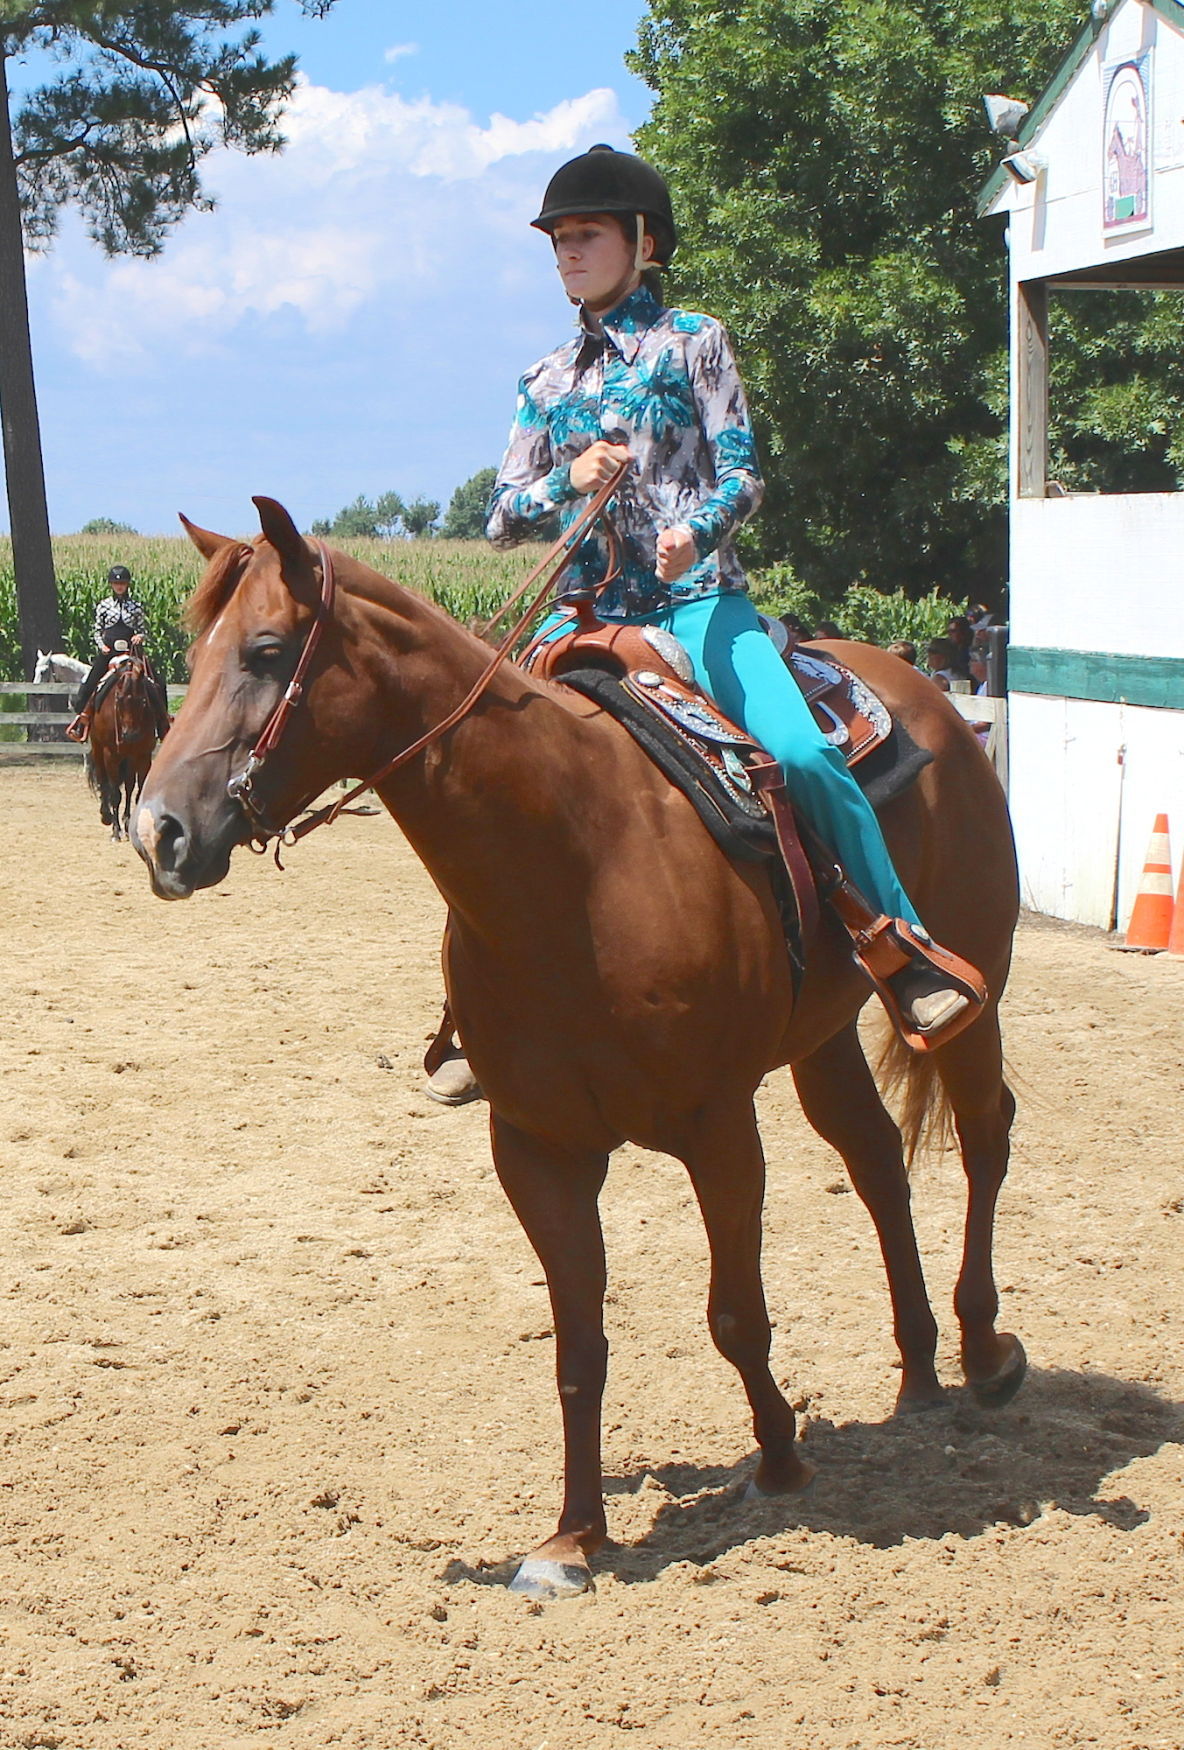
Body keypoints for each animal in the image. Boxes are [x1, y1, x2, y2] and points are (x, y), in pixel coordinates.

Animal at [88, 656, 158, 842]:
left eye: (143, 701)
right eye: (118, 699)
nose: (130, 735)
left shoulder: (142, 755)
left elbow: (135, 790)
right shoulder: (111, 755)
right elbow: (115, 793)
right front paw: (115, 830)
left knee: (128, 786)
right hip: (98, 750)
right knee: (102, 780)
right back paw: (106, 815)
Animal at [132, 497, 1023, 1601]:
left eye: (264, 649)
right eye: (189, 654)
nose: (157, 831)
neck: (574, 861)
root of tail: (932, 699)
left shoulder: (718, 1128)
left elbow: (735, 1312)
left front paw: (778, 1458)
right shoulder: (537, 1148)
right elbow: (578, 1344)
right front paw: (572, 1538)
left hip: (980, 981)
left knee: (984, 1136)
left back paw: (985, 1352)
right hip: (821, 1035)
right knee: (874, 1163)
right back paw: (917, 1372)